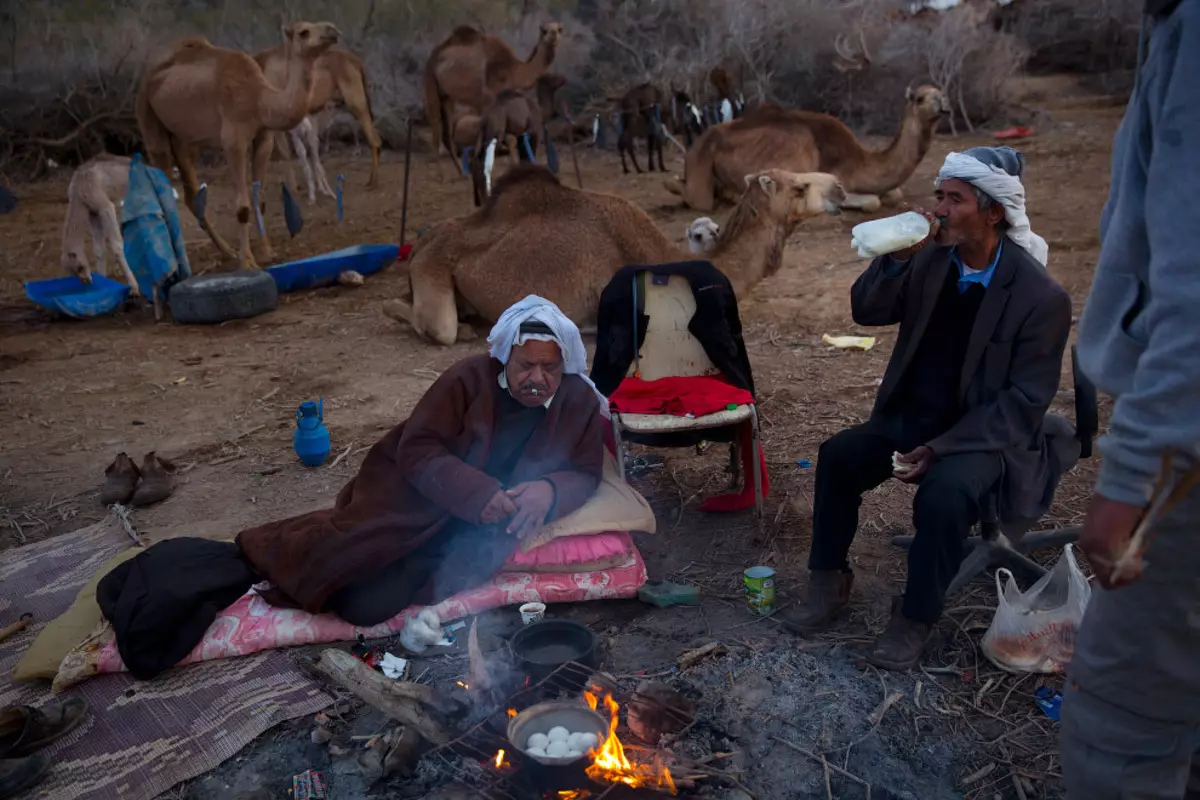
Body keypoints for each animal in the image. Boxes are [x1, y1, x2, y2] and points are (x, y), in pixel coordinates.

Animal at [138, 22, 340, 272]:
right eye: (304, 32)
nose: (332, 30)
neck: (259, 100)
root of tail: (148, 81)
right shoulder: (234, 141)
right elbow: (242, 207)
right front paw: (248, 262)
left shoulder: (264, 139)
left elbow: (259, 199)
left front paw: (266, 253)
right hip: (151, 125)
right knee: (165, 190)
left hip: (183, 141)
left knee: (191, 196)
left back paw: (228, 252)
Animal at [255, 46, 381, 189]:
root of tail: (356, 61)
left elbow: (281, 151)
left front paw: (293, 188)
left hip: (354, 100)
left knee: (374, 138)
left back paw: (373, 183)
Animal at [424, 21, 564, 159]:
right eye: (544, 31)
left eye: (559, 29)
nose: (553, 34)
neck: (514, 70)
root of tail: (437, 51)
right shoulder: (490, 95)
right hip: (430, 79)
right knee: (435, 116)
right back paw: (437, 154)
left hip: (447, 94)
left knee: (448, 116)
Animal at [667, 84, 945, 212]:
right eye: (920, 98)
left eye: (939, 92)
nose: (942, 102)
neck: (857, 159)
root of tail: (697, 144)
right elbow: (872, 202)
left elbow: (894, 193)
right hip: (700, 162)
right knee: (695, 197)